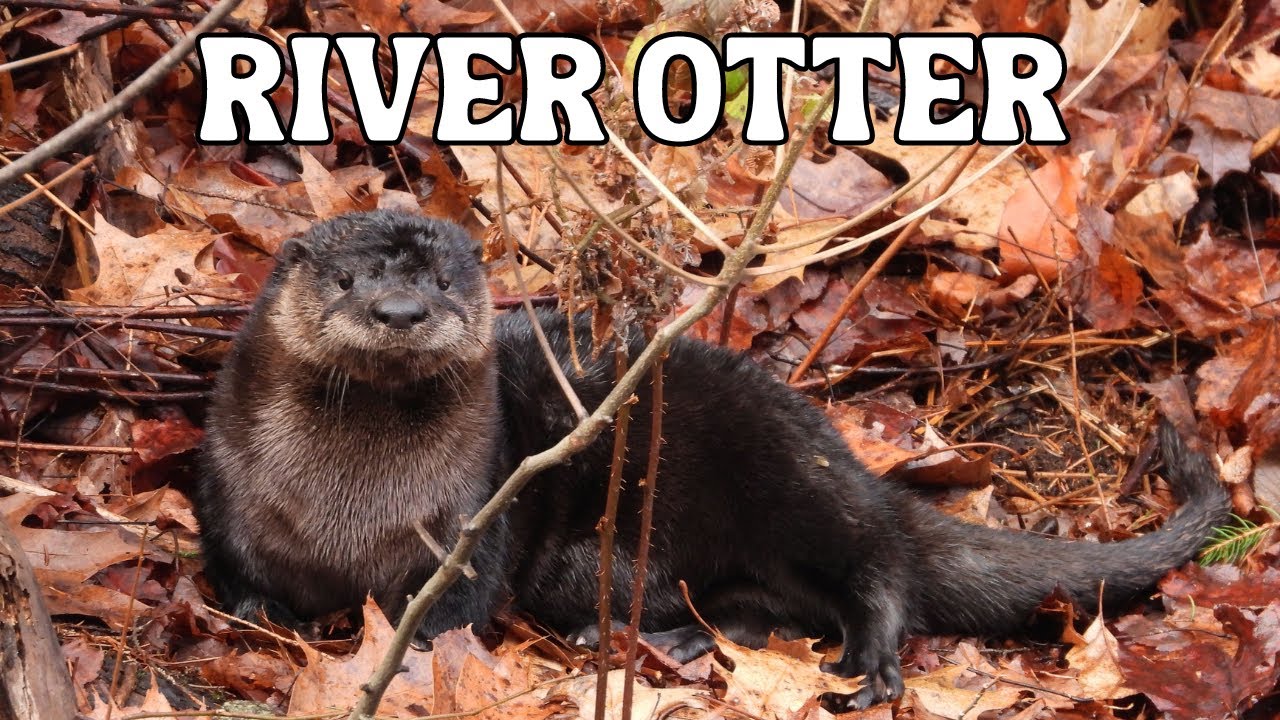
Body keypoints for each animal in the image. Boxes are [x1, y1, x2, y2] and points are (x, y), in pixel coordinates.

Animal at [195, 210, 1230, 708]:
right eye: (349, 277)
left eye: (445, 280)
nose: (403, 310)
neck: (348, 511)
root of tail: (852, 461)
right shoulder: (228, 482)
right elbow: (233, 567)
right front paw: (253, 611)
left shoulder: (473, 518)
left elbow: (455, 609)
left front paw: (409, 653)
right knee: (771, 605)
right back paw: (675, 635)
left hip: (789, 474)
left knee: (878, 565)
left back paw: (870, 663)